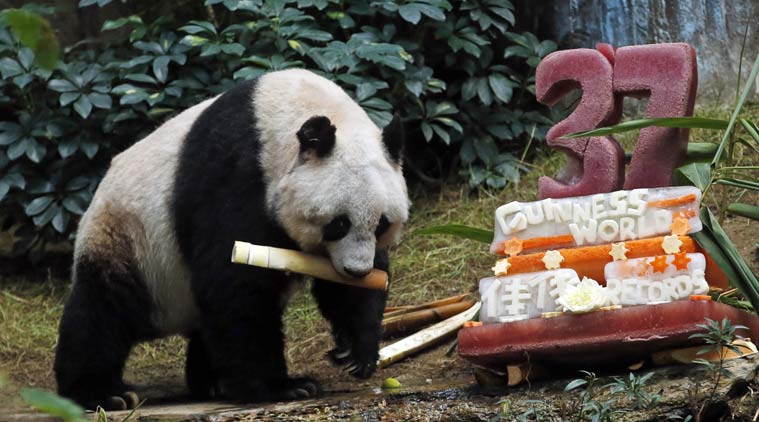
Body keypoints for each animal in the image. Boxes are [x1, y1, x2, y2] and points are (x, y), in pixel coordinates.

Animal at [53, 69, 409, 410]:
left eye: (381, 224)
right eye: (338, 224)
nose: (356, 271)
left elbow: (345, 289)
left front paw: (355, 353)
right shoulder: (236, 176)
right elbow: (235, 283)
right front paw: (282, 386)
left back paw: (211, 382)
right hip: (127, 241)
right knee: (102, 313)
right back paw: (101, 394)